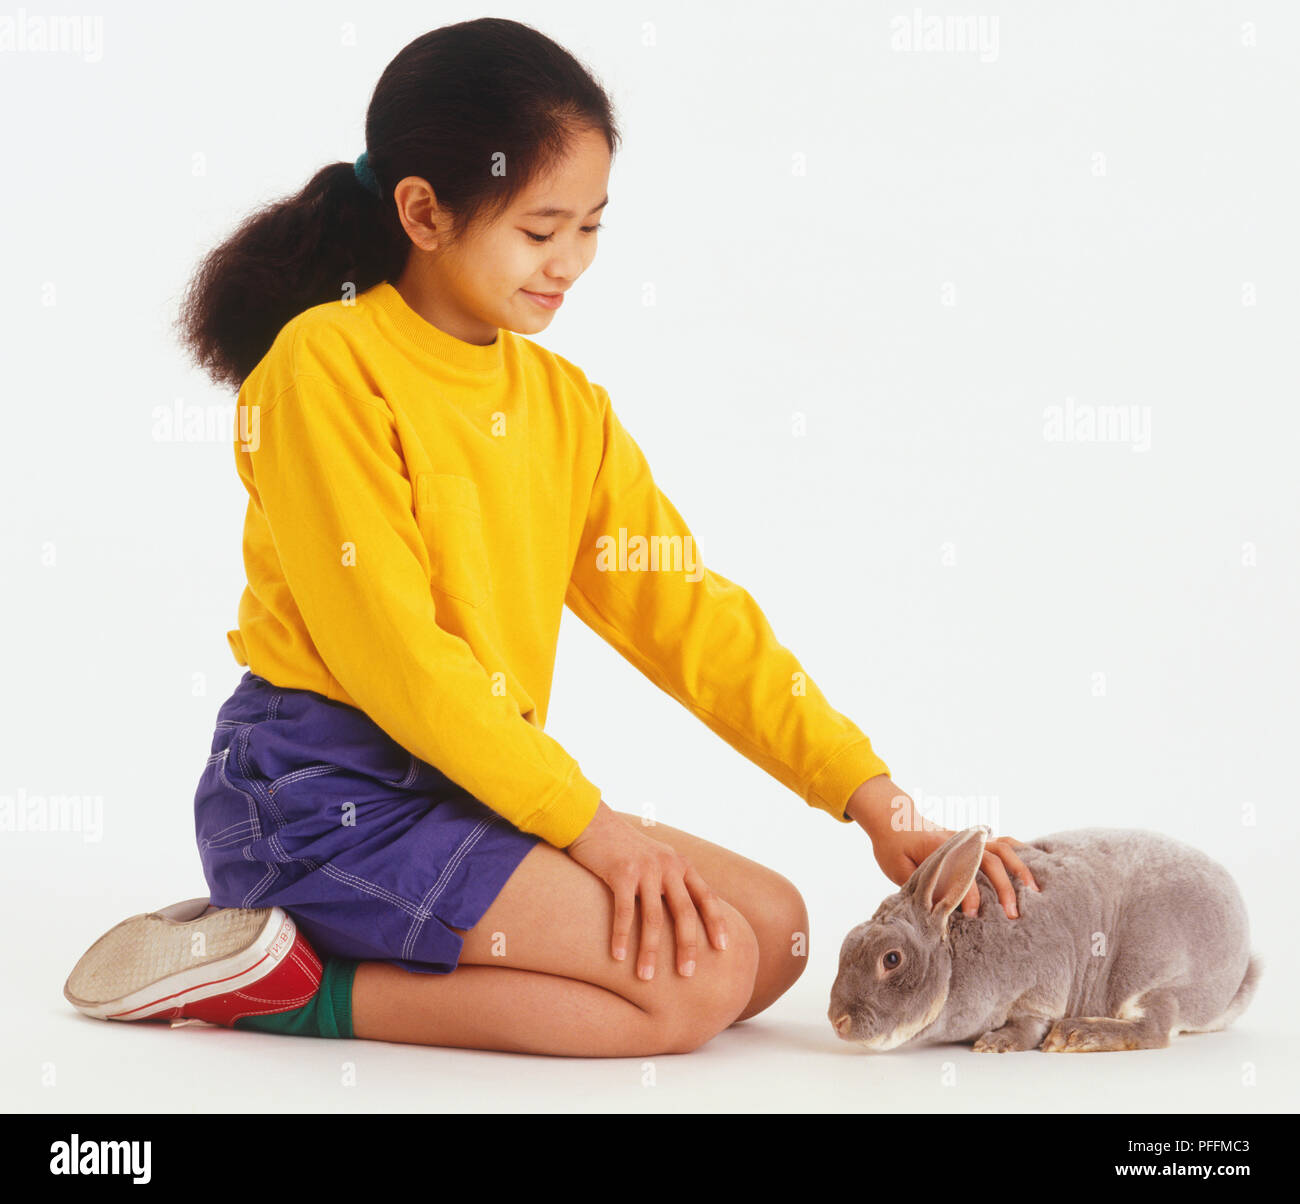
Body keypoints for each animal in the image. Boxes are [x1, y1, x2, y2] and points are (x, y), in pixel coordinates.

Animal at [828, 825, 1261, 1053]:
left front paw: (997, 1043)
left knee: (1154, 1028)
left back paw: (1078, 1034)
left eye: (892, 959)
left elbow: (1031, 1023)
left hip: (1157, 975)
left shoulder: (1040, 986)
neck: (955, 959)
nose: (838, 1021)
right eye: (847, 944)